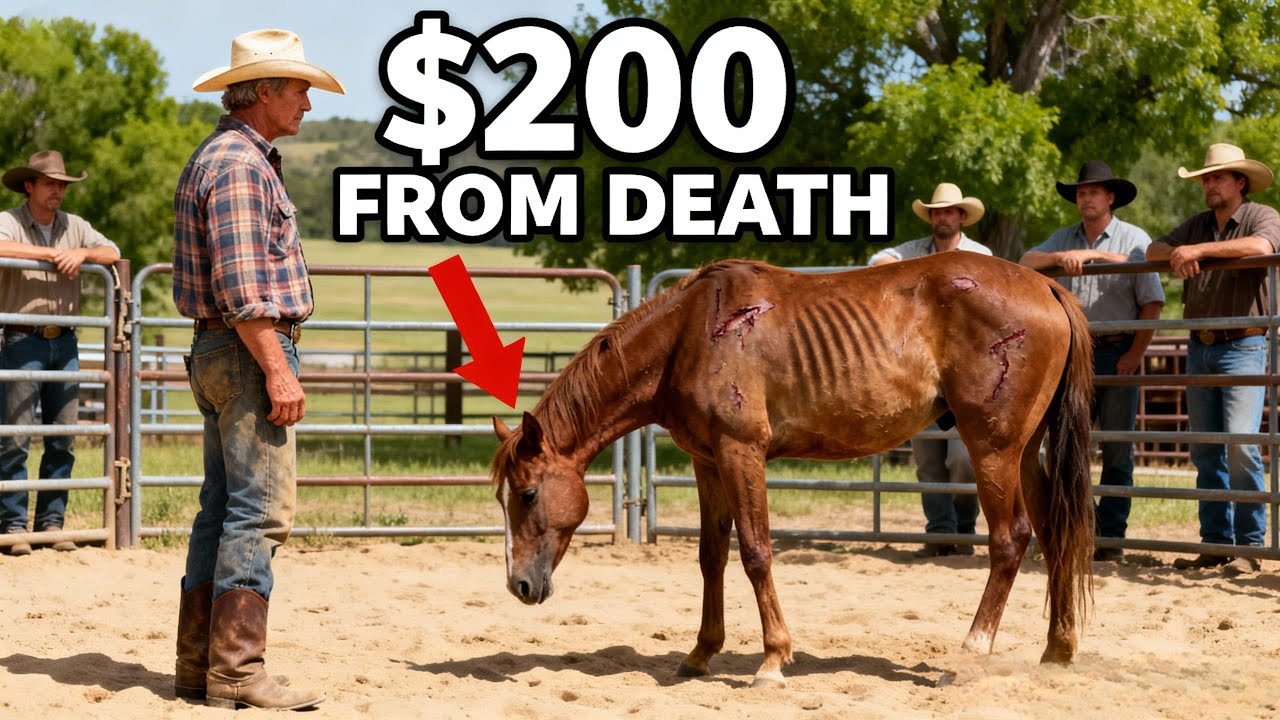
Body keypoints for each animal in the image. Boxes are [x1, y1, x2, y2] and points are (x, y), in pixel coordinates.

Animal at [491, 253, 1094, 687]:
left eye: (527, 494)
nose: (519, 585)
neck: (688, 335)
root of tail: (1047, 288)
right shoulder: (708, 461)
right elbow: (712, 557)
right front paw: (700, 653)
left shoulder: (741, 453)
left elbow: (756, 553)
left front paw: (773, 660)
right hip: (1027, 452)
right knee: (1055, 535)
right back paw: (1058, 650)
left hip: (992, 449)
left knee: (1010, 542)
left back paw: (969, 655)